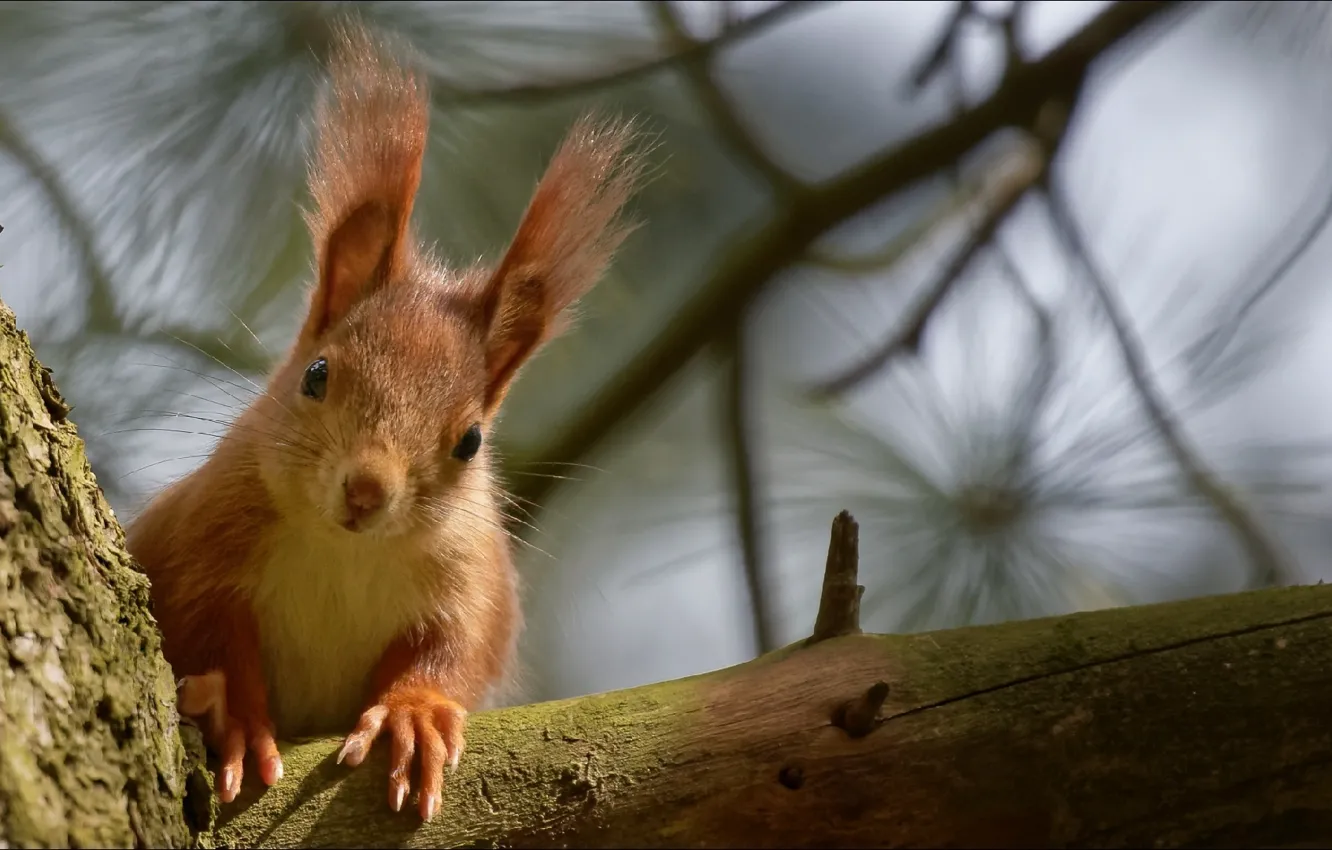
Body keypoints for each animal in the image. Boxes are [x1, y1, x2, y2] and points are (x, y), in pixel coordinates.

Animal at [125, 20, 644, 822]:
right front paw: (236, 713)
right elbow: (204, 627)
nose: (366, 491)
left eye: (470, 441)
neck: (347, 551)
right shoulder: (199, 540)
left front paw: (416, 710)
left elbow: (458, 649)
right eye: (316, 375)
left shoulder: (473, 579)